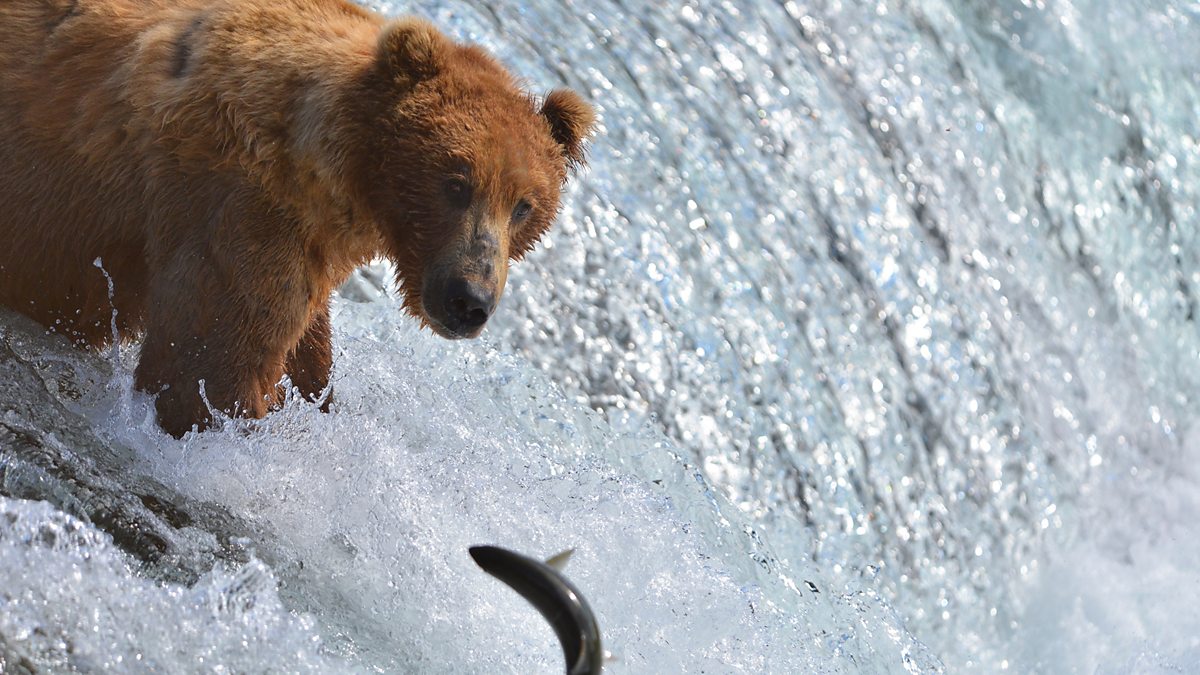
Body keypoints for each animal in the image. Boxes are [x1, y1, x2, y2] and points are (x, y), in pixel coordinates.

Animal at [0, 0, 595, 437]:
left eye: (524, 205)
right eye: (456, 183)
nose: (469, 300)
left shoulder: (312, 247)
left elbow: (307, 362)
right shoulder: (243, 208)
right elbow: (209, 375)